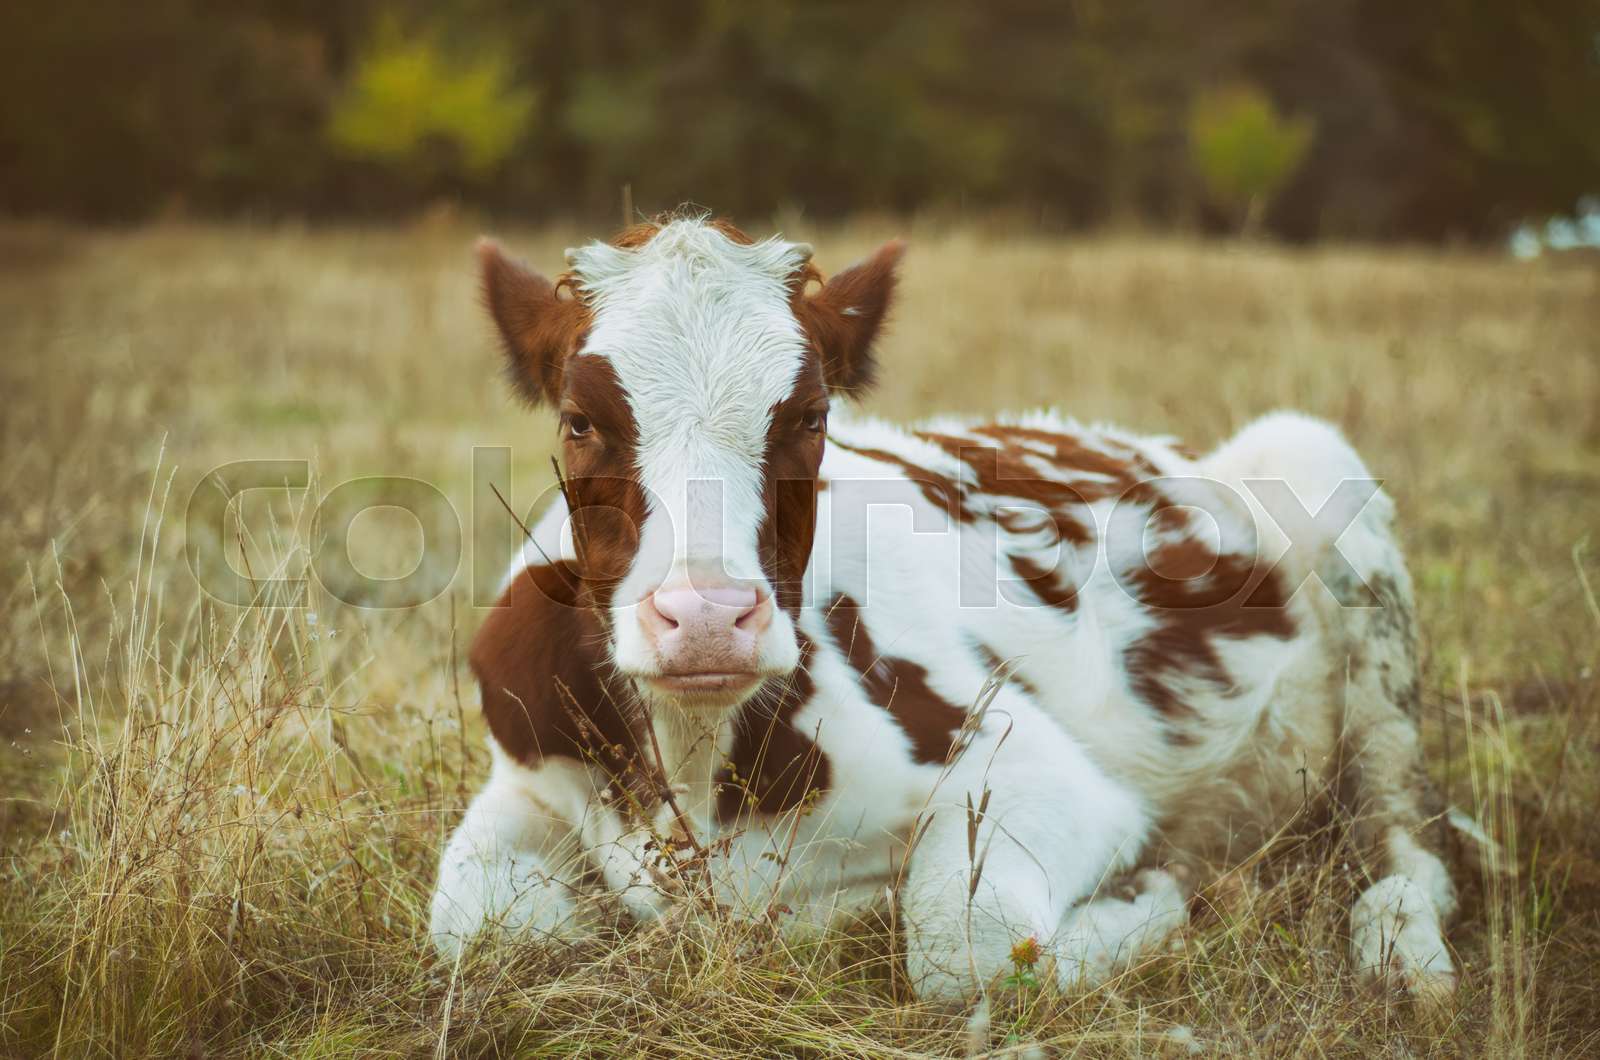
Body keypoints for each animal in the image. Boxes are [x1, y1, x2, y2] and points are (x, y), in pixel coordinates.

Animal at [429, 215, 1459, 1003]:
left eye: (810, 417)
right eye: (579, 420)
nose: (710, 618)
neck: (695, 774)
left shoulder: (1038, 770)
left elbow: (968, 945)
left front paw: (1151, 897)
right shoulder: (524, 774)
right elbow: (480, 925)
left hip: (1330, 494)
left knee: (1407, 843)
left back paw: (1403, 956)